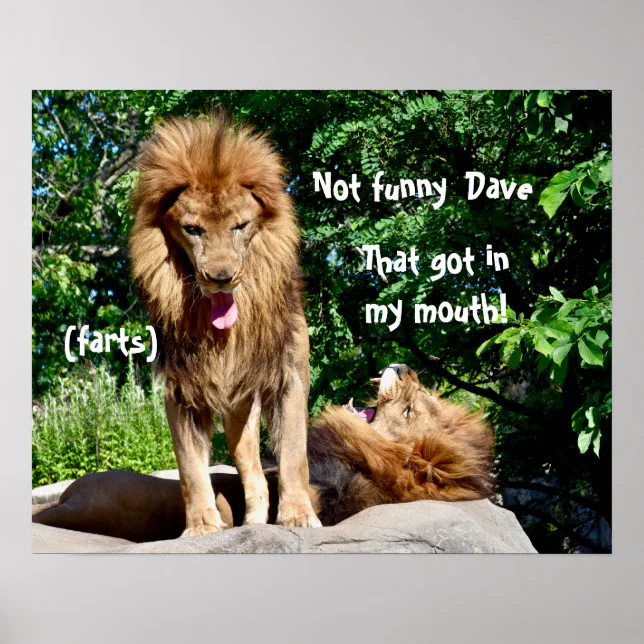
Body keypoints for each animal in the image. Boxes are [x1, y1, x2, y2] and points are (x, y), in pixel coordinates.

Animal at [129, 114, 320, 534]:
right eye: (193, 229)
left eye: (240, 225)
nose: (221, 277)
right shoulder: (180, 388)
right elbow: (189, 468)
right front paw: (202, 525)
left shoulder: (288, 376)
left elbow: (294, 454)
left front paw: (298, 515)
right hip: (236, 417)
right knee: (254, 474)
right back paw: (252, 526)